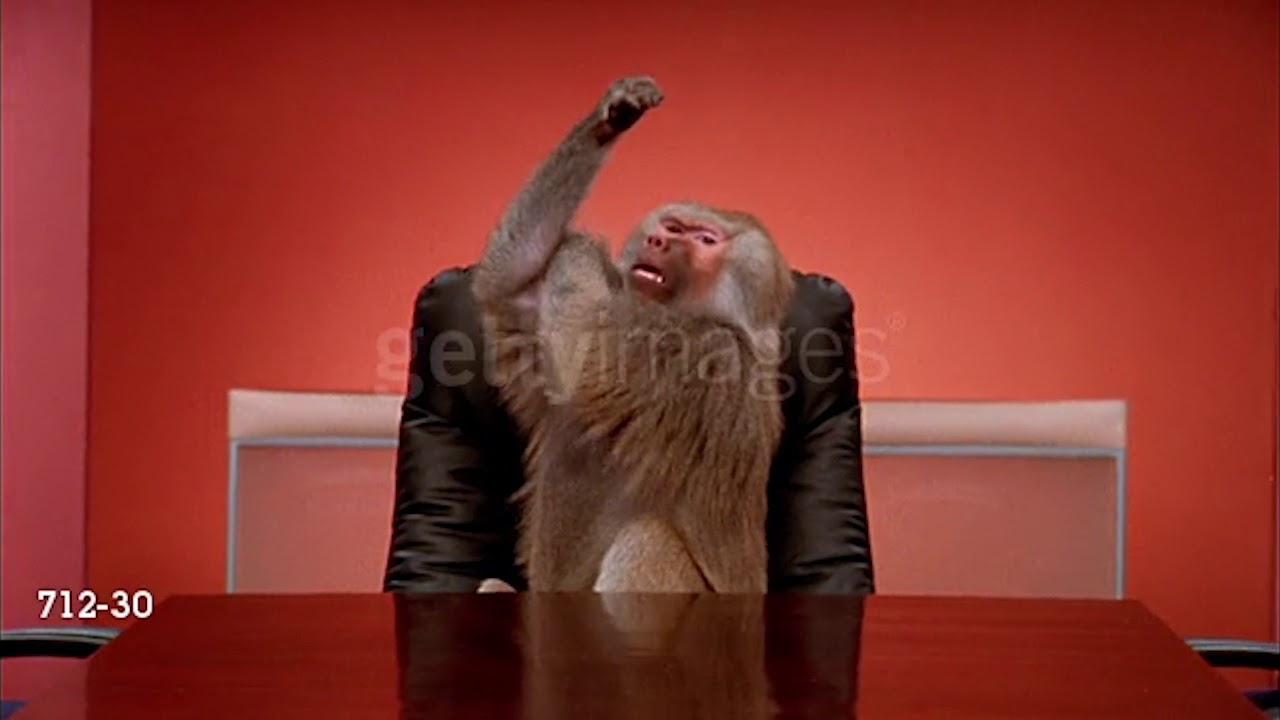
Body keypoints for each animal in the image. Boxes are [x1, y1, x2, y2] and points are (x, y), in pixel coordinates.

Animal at [470, 76, 794, 594]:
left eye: (704, 240)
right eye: (673, 226)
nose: (657, 240)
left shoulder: (694, 352)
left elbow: (582, 362)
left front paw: (584, 244)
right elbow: (508, 285)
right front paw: (612, 117)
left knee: (649, 541)